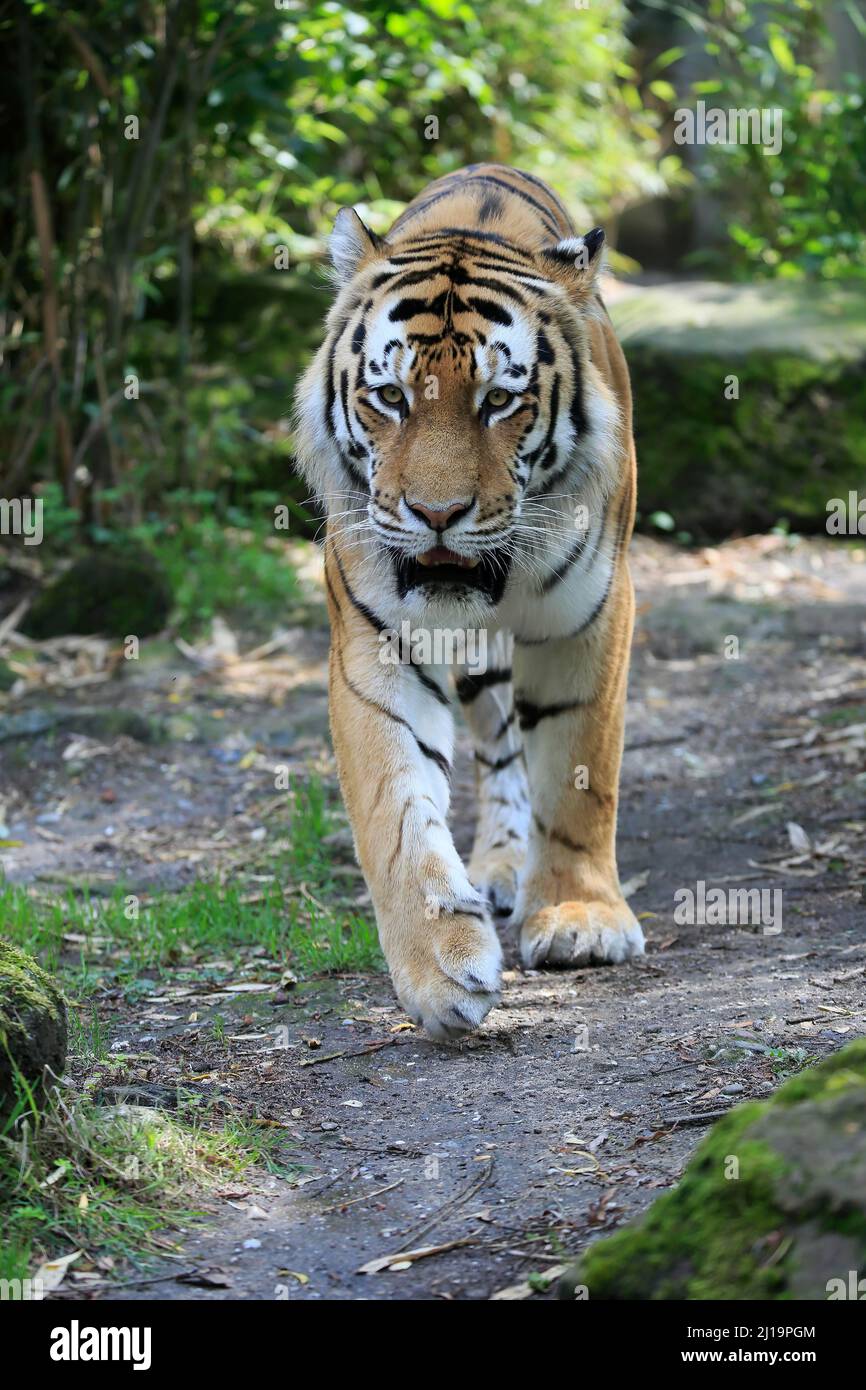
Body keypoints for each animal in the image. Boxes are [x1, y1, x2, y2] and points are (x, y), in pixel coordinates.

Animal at [294, 163, 643, 1041]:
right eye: (390, 397)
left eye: (498, 401)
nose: (438, 513)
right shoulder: (373, 643)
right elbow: (396, 810)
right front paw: (439, 966)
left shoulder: (592, 617)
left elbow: (582, 769)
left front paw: (582, 919)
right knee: (500, 747)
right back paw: (498, 864)